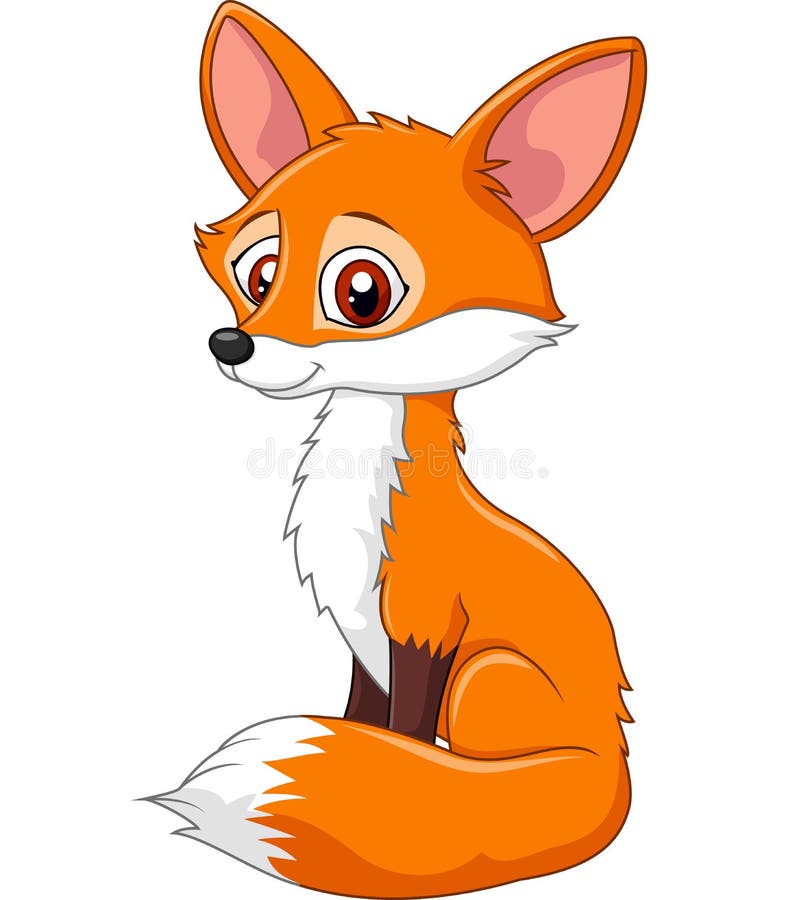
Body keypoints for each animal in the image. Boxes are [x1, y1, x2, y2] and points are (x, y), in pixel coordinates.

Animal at [147, 3, 646, 897]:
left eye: (361, 293)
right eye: (258, 275)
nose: (229, 343)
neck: (365, 504)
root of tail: (611, 762)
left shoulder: (423, 629)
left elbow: (406, 738)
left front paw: (397, 773)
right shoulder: (360, 635)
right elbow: (359, 720)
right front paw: (358, 750)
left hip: (489, 675)